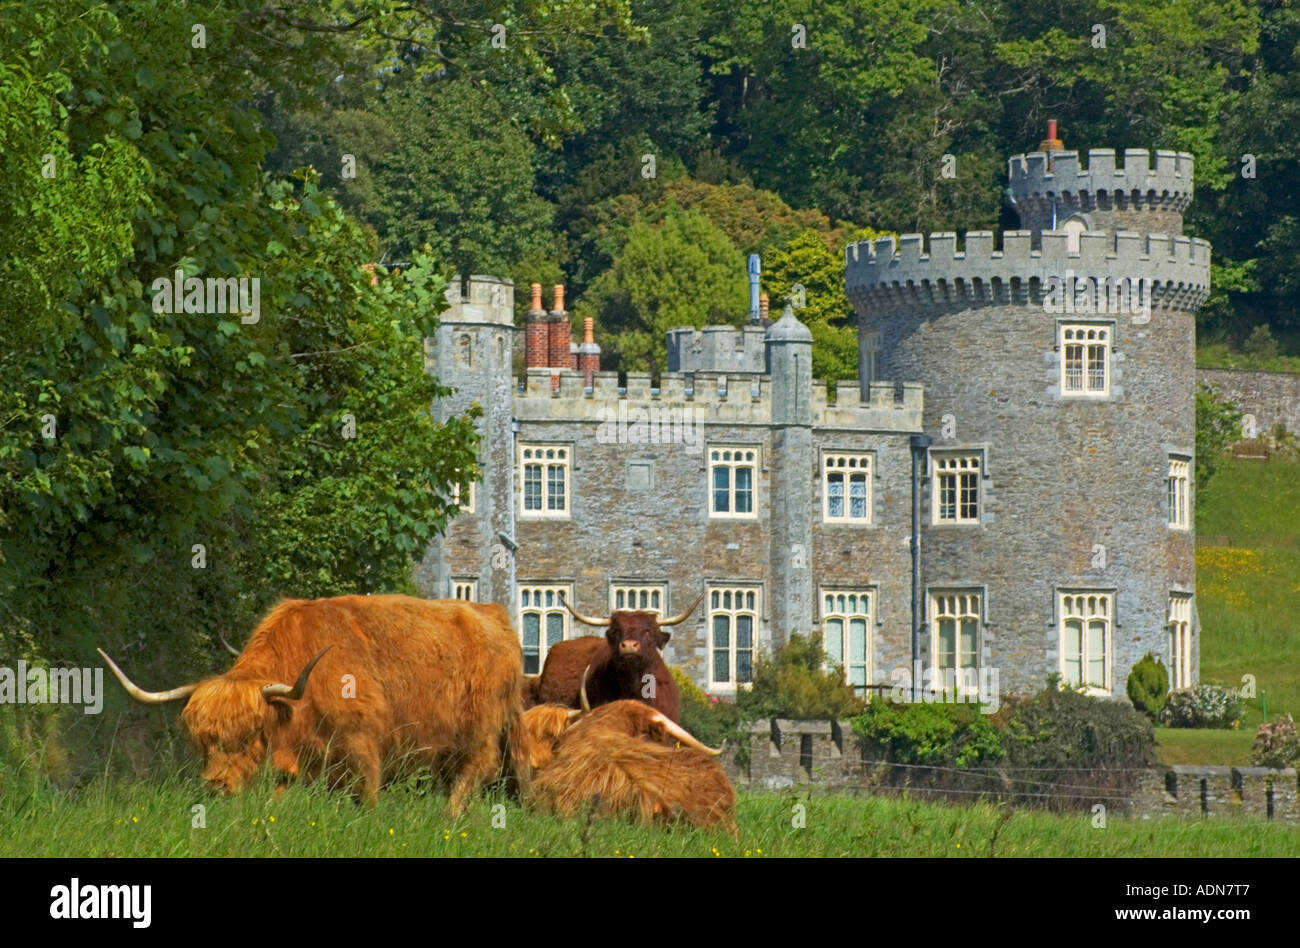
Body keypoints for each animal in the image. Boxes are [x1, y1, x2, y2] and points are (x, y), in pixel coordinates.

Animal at [99, 595, 529, 815]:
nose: (217, 787)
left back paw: (448, 819)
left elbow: (367, 800)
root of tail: (493, 614)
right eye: (202, 741)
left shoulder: (363, 746)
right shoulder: (298, 763)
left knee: (476, 771)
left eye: (250, 736)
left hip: (481, 732)